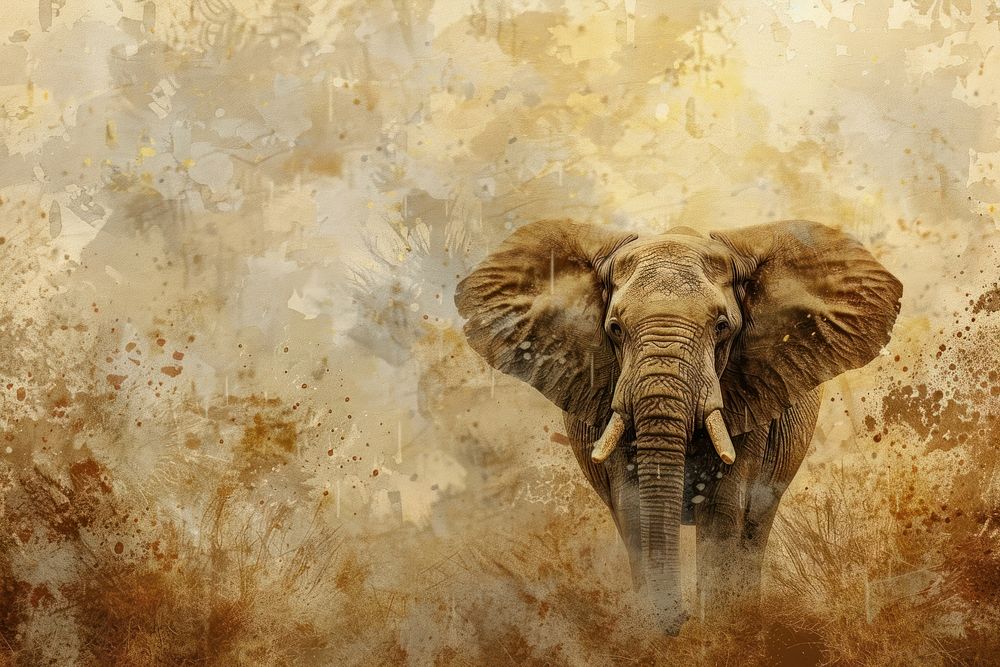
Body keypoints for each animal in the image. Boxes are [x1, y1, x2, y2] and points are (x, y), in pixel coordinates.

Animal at [454, 219, 902, 633]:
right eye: (615, 328)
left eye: (722, 327)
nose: (681, 620)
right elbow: (634, 508)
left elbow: (723, 512)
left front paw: (719, 634)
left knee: (754, 527)